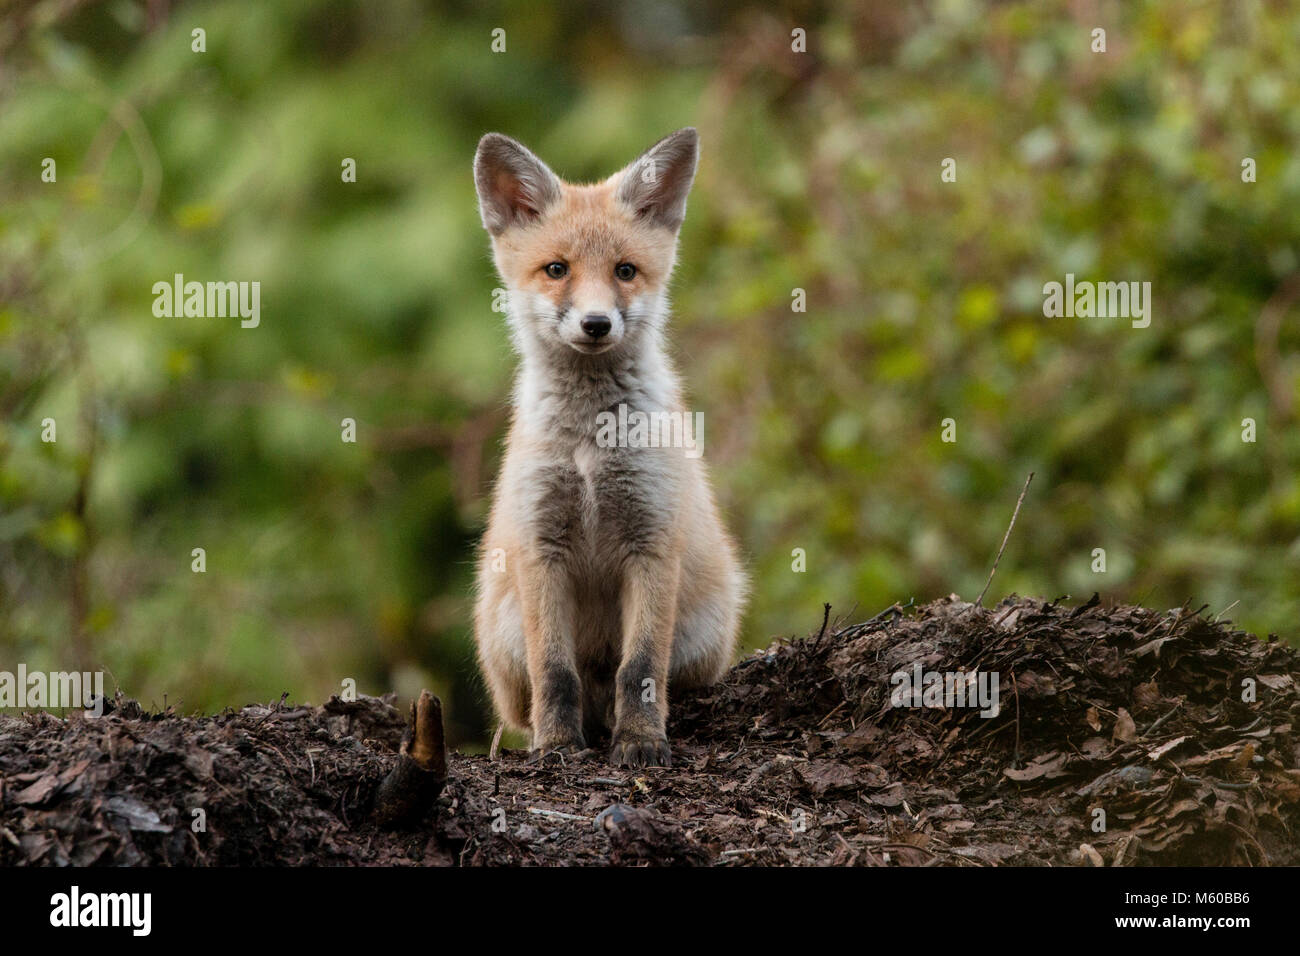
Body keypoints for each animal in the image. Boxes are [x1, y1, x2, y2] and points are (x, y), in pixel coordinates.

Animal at [471, 127, 747, 768]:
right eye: (556, 269)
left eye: (625, 271)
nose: (596, 323)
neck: (591, 449)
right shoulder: (541, 545)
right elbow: (556, 673)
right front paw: (556, 746)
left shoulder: (652, 541)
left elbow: (640, 669)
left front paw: (642, 742)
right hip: (503, 633)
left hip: (706, 630)